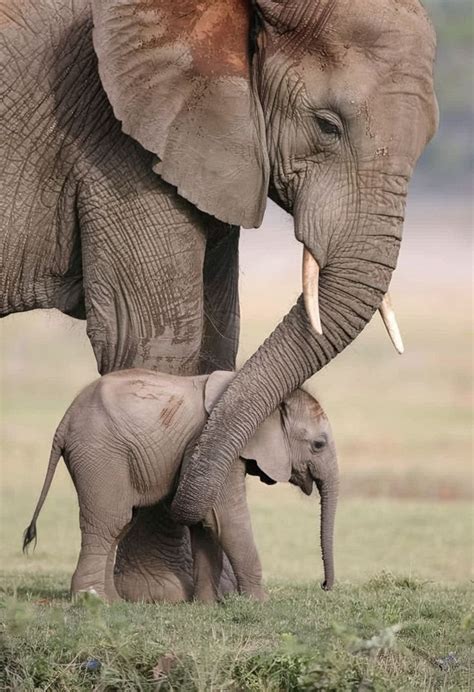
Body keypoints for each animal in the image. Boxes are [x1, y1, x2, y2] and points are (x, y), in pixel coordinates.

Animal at [23, 369, 338, 601]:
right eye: (318, 444)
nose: (324, 585)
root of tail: (64, 422)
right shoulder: (214, 448)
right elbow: (228, 520)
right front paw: (260, 603)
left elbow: (208, 522)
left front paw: (208, 606)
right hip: (99, 453)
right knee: (108, 521)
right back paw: (93, 601)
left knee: (119, 524)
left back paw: (113, 602)